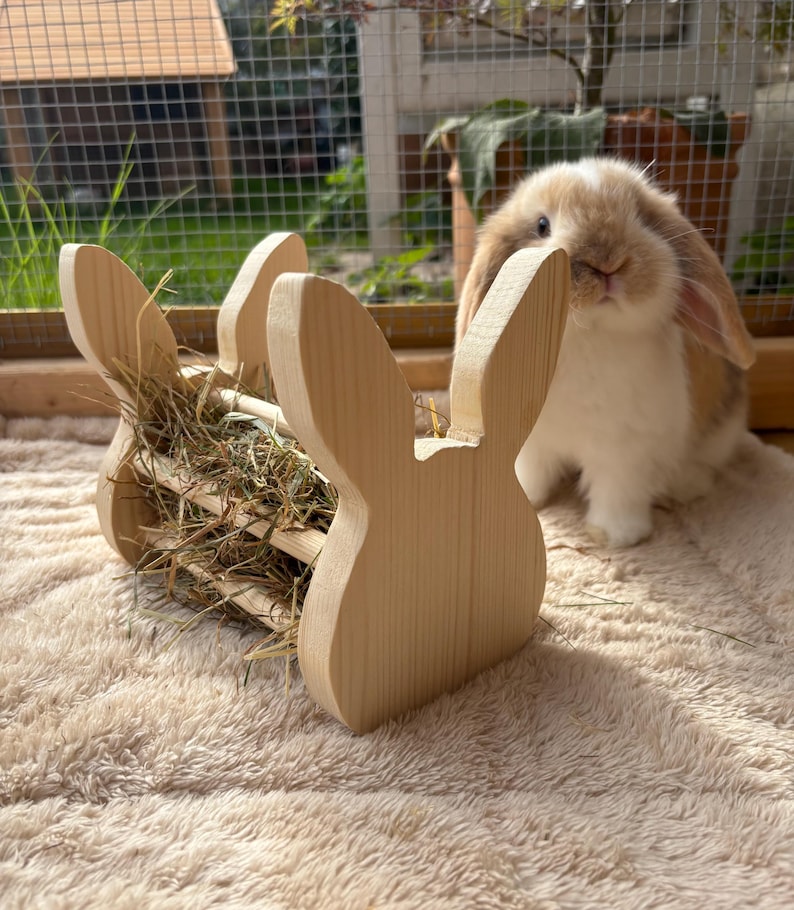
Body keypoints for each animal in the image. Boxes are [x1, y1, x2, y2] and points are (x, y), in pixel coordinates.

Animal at [456, 156, 757, 548]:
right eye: (541, 226)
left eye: (642, 218)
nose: (607, 261)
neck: (587, 336)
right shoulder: (532, 443)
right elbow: (532, 472)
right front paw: (531, 501)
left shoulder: (626, 450)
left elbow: (618, 491)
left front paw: (616, 536)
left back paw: (684, 487)